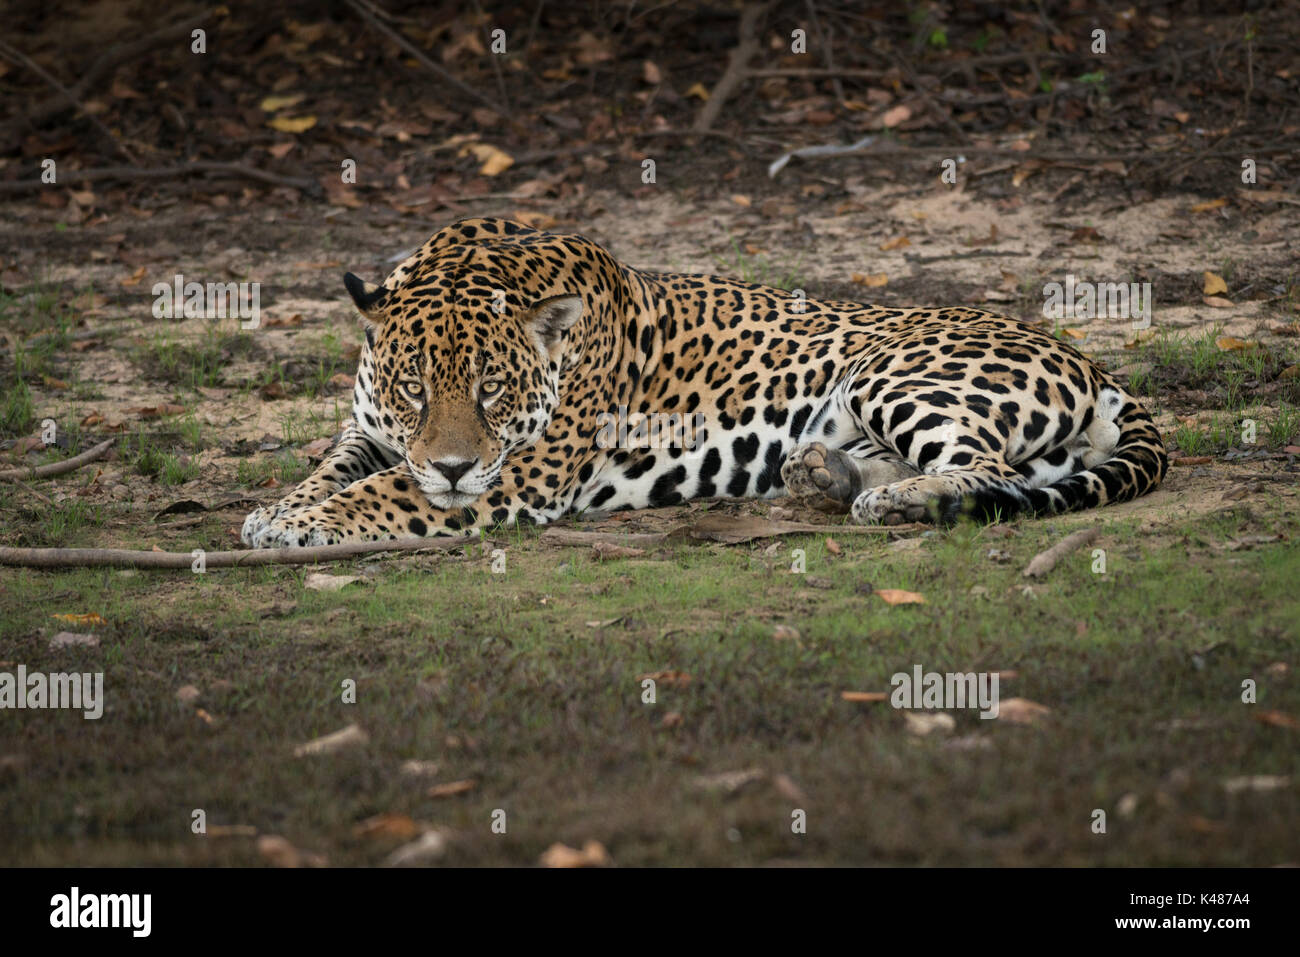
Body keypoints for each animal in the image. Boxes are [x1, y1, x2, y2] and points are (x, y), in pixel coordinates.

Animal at [241, 217, 1167, 548]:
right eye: (413, 390)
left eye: (493, 389)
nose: (455, 465)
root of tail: (1096, 362)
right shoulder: (370, 430)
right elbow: (337, 467)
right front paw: (280, 510)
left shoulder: (524, 471)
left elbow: (387, 490)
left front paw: (301, 526)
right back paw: (824, 475)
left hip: (893, 370)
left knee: (990, 468)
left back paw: (891, 501)